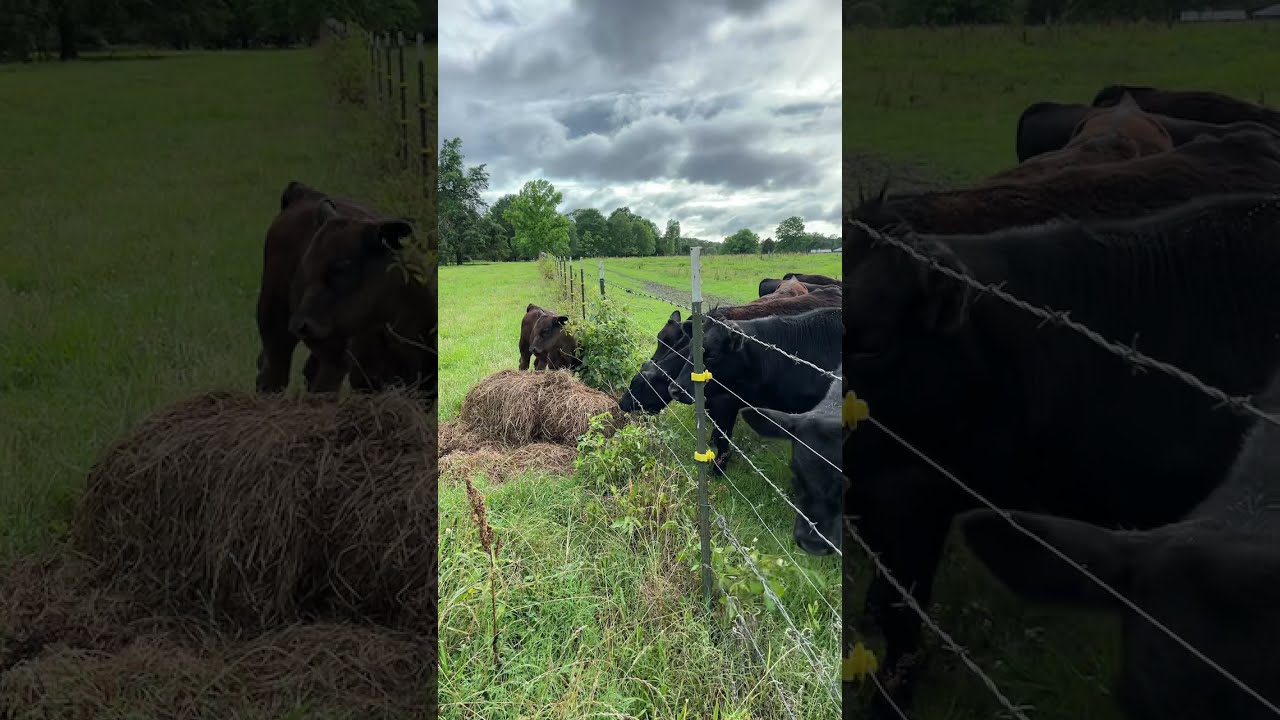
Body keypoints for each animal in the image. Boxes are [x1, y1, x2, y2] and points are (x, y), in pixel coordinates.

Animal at [255, 181, 434, 396]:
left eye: (344, 266)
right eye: (306, 266)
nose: (301, 324)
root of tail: (303, 193)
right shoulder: (364, 377)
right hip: (274, 316)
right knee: (276, 371)